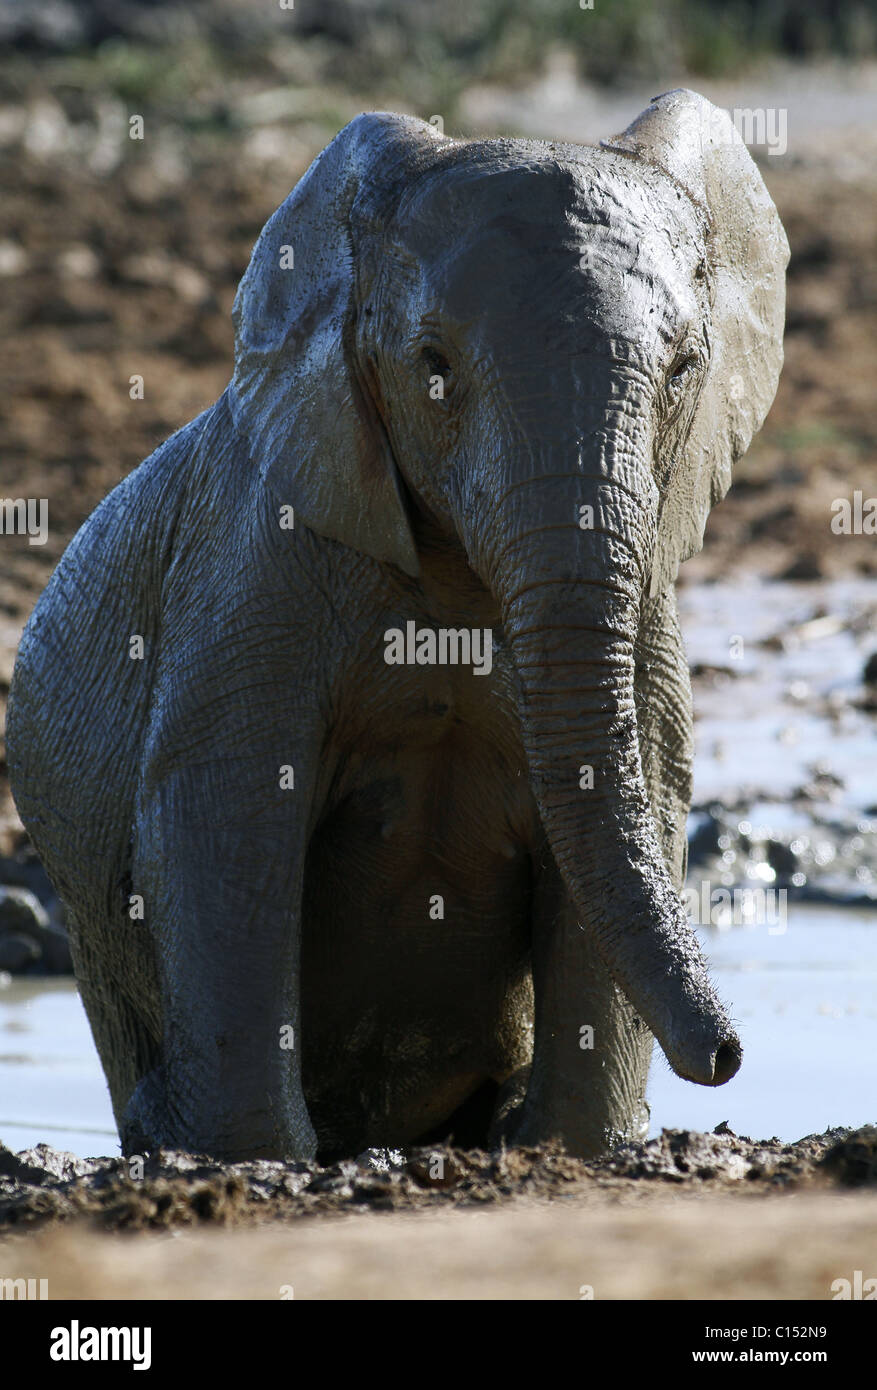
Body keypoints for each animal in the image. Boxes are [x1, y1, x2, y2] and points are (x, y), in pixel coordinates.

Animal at [6, 89, 788, 1163]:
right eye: (432, 367)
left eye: (682, 368)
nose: (726, 1056)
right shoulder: (249, 573)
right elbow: (225, 810)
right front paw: (255, 1154)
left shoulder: (648, 617)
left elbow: (632, 802)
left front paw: (564, 1146)